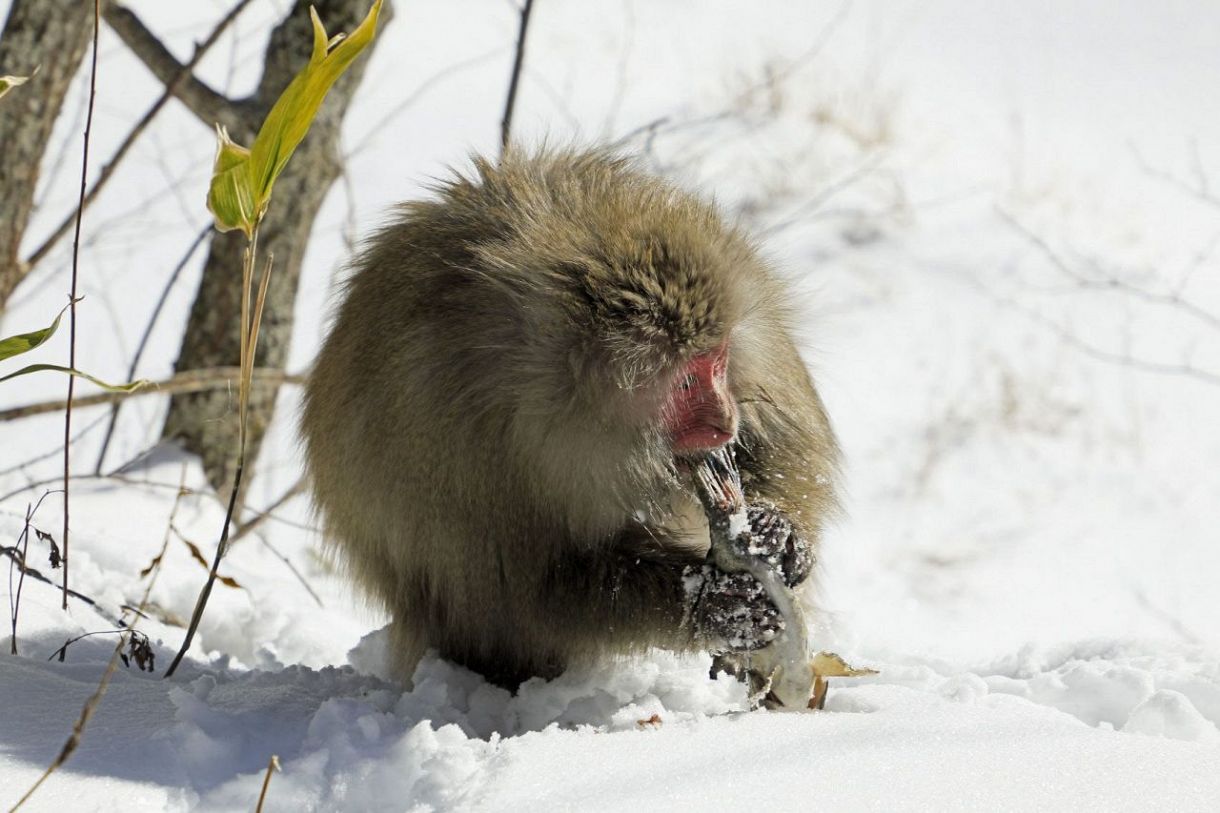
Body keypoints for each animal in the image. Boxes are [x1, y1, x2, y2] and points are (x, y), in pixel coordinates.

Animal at [300, 147, 838, 689]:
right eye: (685, 383)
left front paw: (775, 529)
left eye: (719, 361)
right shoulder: (457, 437)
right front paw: (712, 601)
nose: (725, 422)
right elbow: (516, 594)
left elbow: (784, 440)